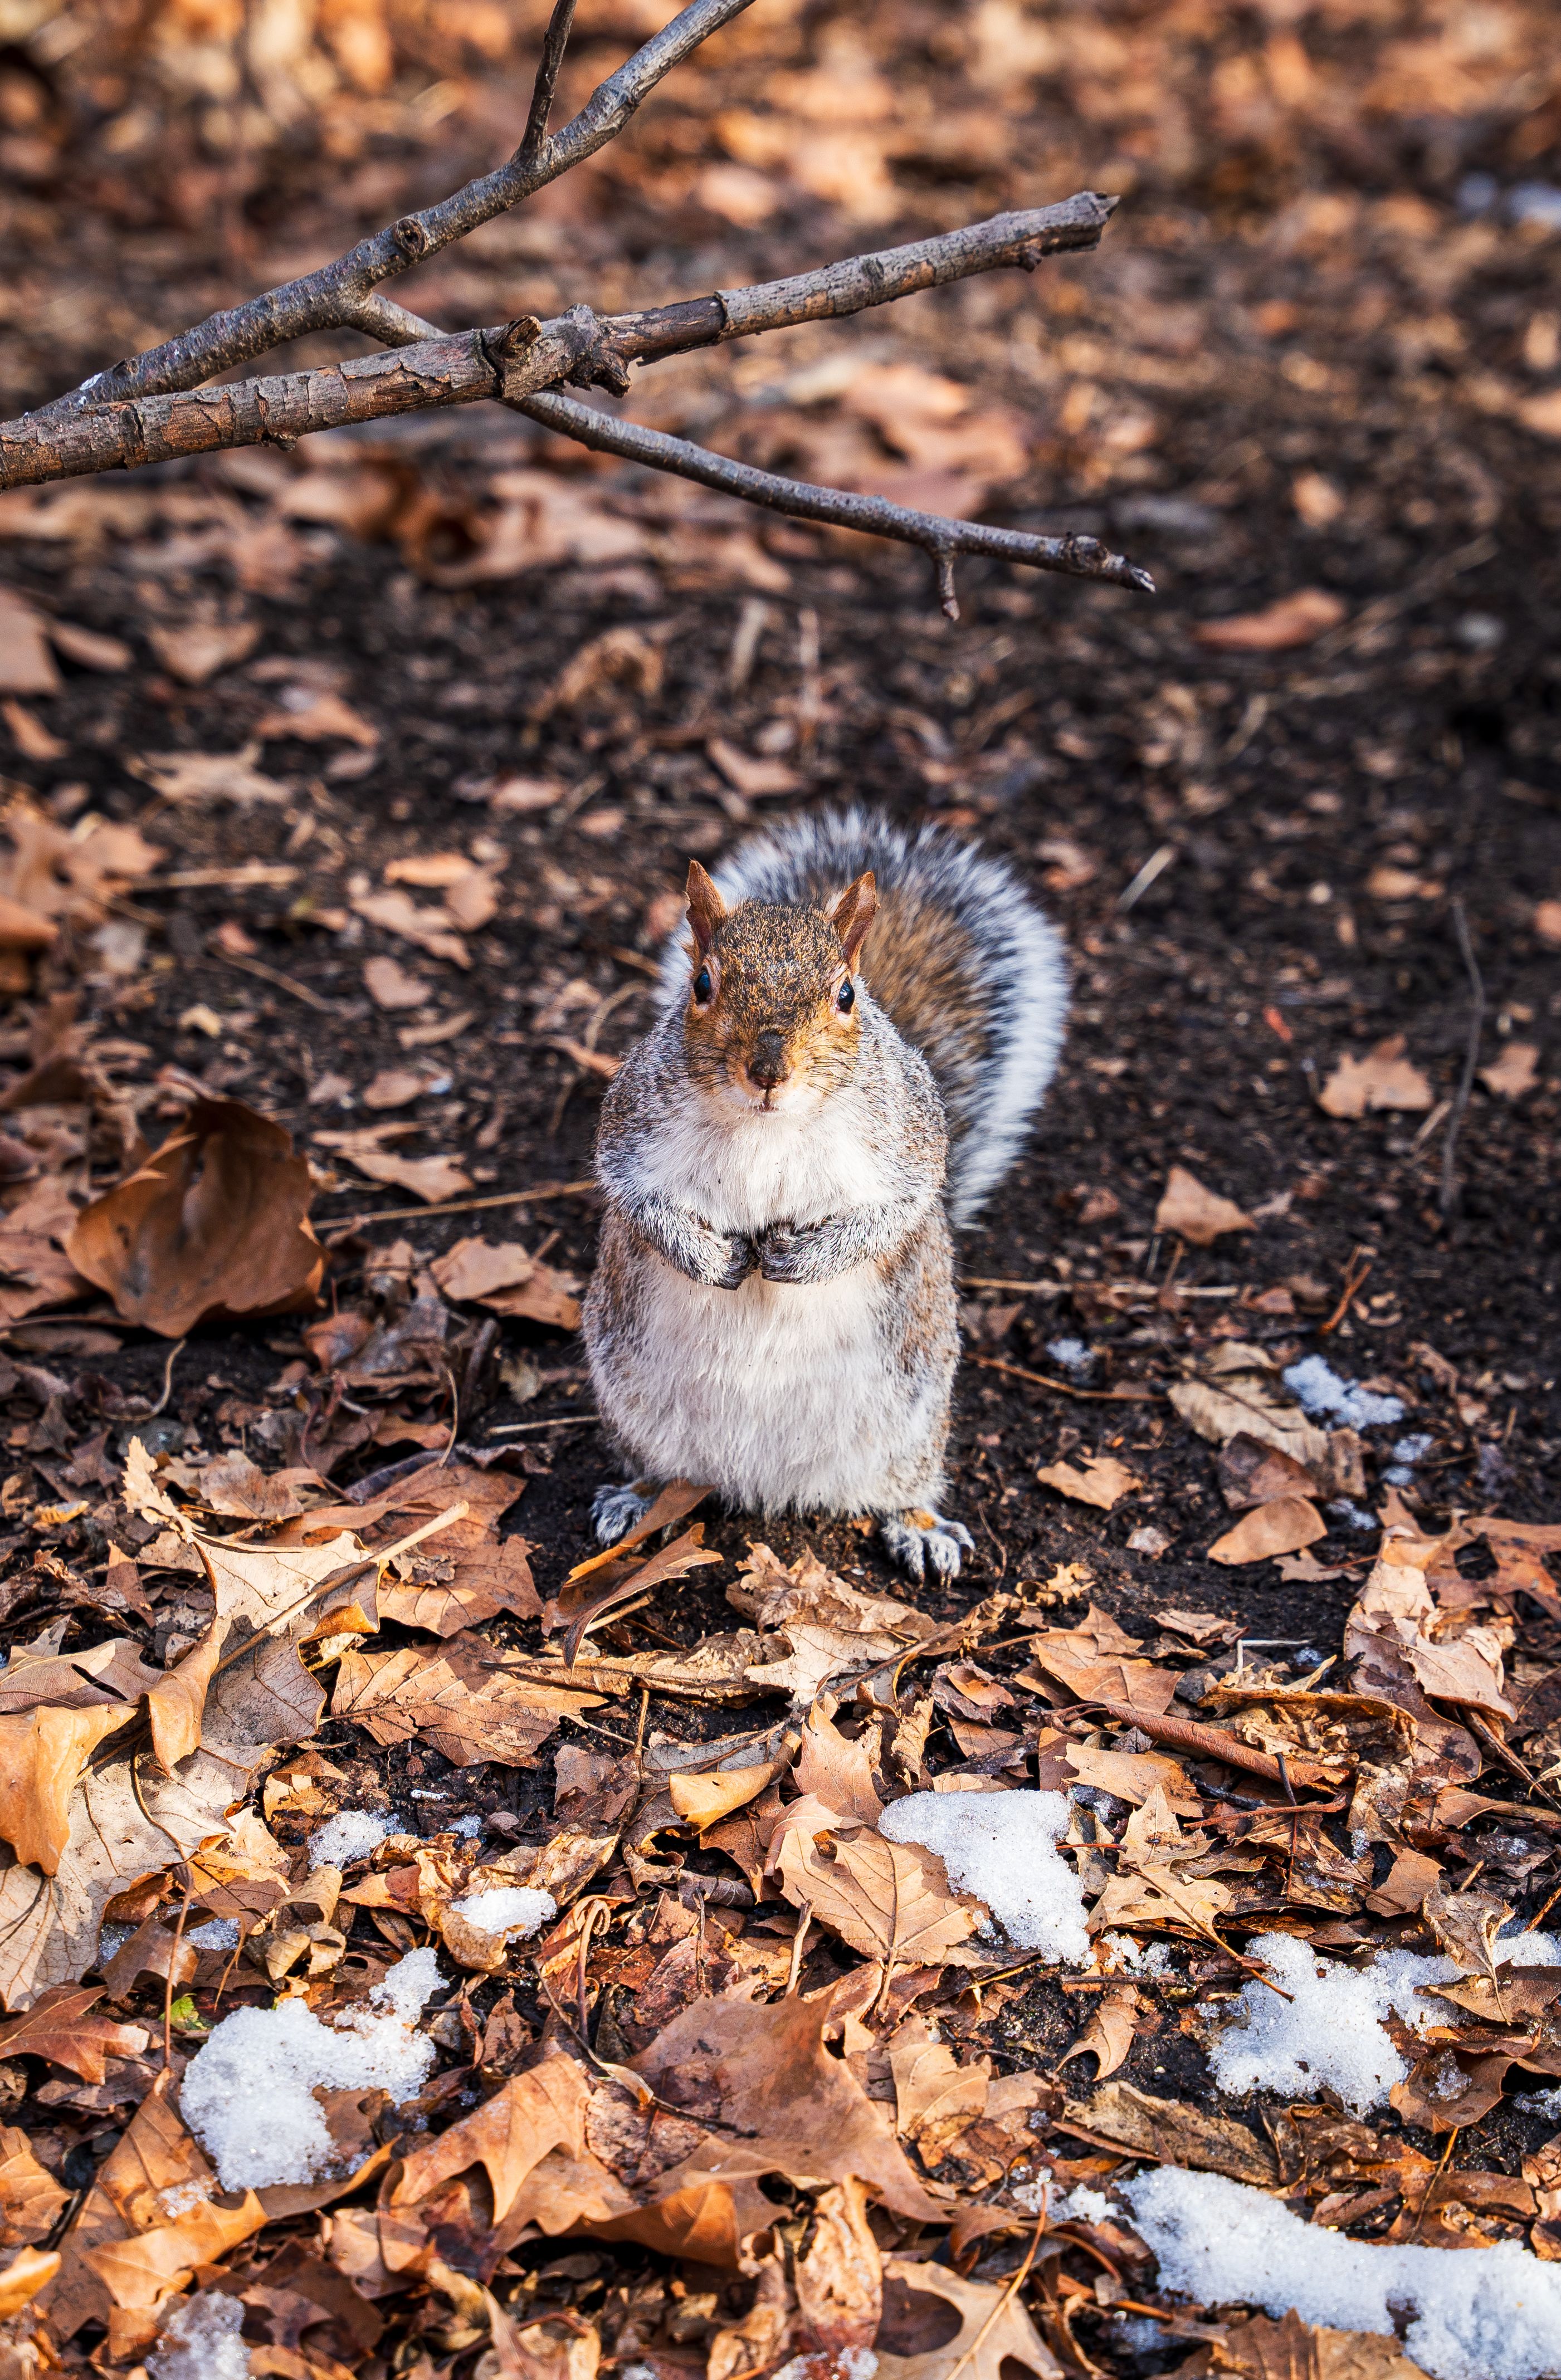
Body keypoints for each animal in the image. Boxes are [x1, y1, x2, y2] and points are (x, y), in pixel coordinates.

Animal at [582, 807, 1068, 1581]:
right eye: (701, 984)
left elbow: (895, 1210)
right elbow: (640, 1203)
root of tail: (764, 1485)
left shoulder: (908, 1144)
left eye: (846, 995)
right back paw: (638, 1498)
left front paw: (804, 1260)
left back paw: (919, 1526)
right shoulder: (629, 1133)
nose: (768, 1070)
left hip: (911, 1422)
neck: (768, 1126)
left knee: (904, 1486)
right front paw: (711, 1259)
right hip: (631, 1404)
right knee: (655, 1467)